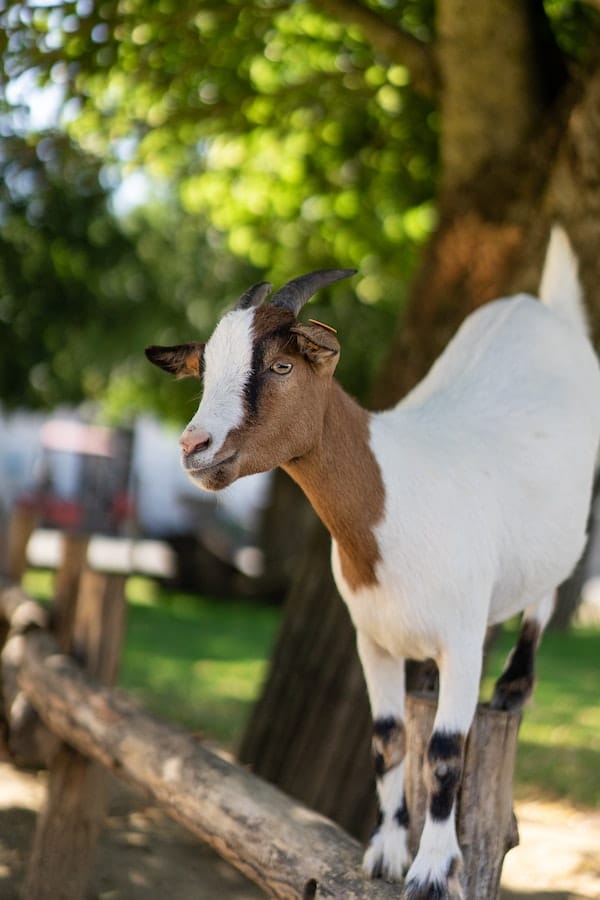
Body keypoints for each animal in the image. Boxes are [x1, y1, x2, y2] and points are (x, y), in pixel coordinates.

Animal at [146, 226, 600, 899]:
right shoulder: (373, 640)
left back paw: (515, 686)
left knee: (552, 583)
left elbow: (445, 750)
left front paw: (433, 868)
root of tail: (546, 308)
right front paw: (385, 851)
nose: (194, 447)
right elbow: (388, 742)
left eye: (282, 366)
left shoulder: (463, 640)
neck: (395, 501)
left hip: (572, 513)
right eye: (205, 373)